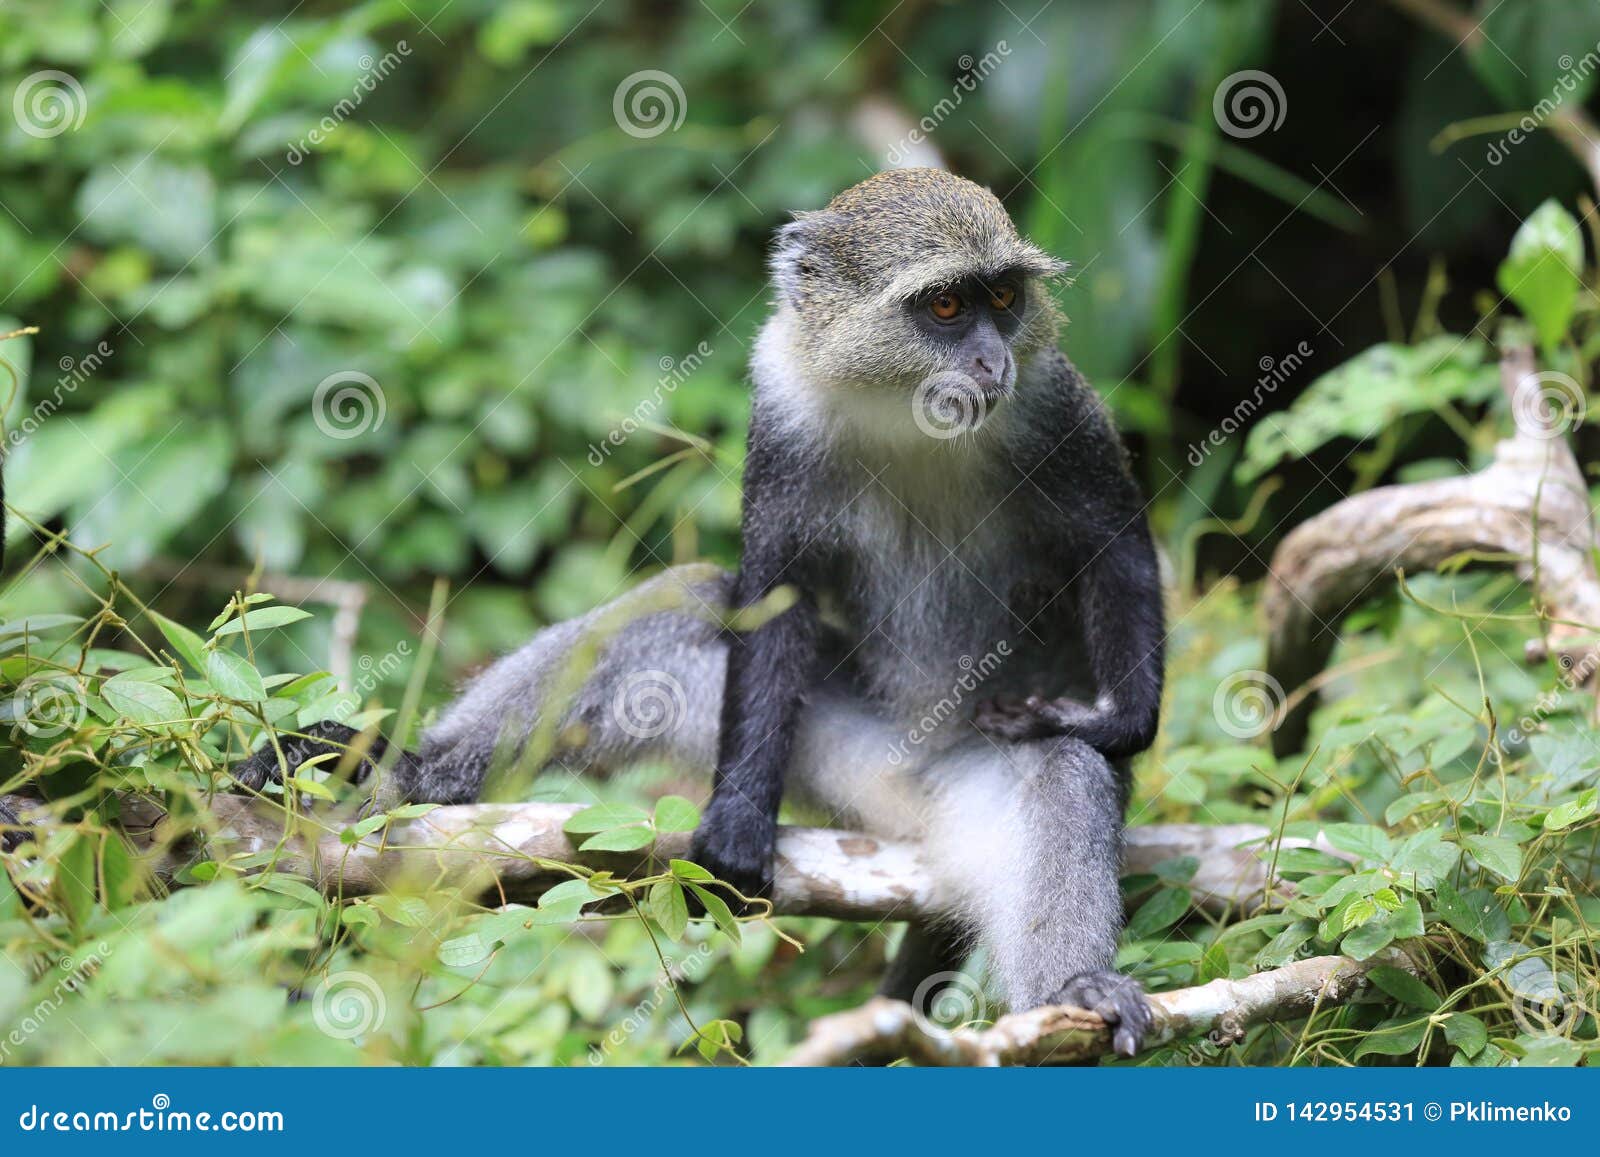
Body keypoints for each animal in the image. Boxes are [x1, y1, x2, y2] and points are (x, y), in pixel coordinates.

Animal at [235, 168, 1166, 1056]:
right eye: (946, 305)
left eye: (1003, 297)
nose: (988, 363)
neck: (905, 409)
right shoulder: (784, 402)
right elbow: (769, 596)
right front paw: (740, 816)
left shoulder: (1050, 400)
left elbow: (1114, 546)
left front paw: (1119, 722)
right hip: (844, 763)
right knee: (680, 596)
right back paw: (403, 771)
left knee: (1060, 768)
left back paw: (1073, 988)